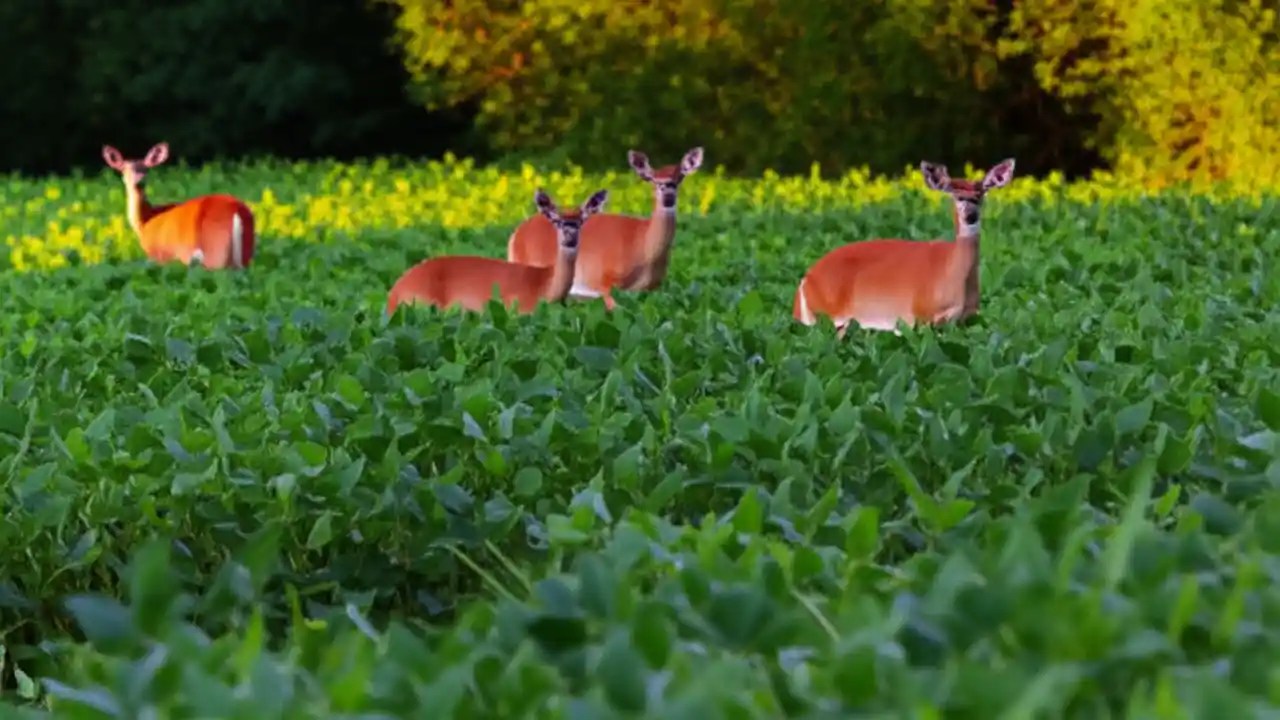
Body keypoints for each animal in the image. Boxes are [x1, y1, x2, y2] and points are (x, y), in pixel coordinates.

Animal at [101, 142, 256, 269]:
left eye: (146, 169)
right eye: (124, 170)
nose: (139, 181)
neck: (145, 221)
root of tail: (236, 210)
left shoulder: (158, 256)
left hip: (213, 252)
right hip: (245, 254)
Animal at [505, 146, 704, 310]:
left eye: (680, 177)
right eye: (653, 180)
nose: (668, 195)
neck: (643, 247)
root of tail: (515, 234)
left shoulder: (653, 290)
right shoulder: (605, 281)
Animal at [793, 158, 1016, 337]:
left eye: (981, 194)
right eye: (956, 195)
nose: (970, 215)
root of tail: (805, 280)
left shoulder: (967, 320)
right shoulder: (920, 317)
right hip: (828, 316)